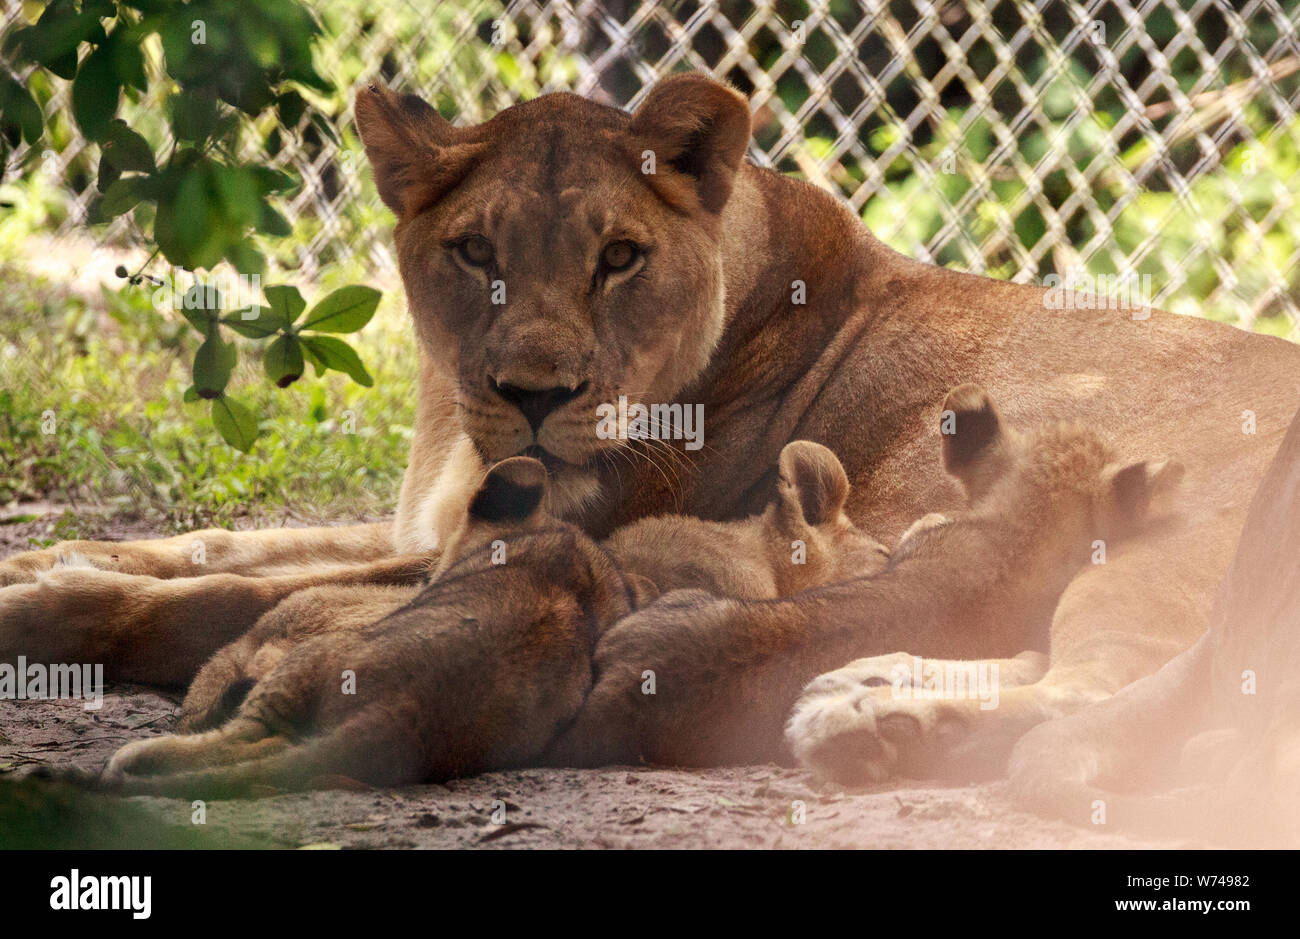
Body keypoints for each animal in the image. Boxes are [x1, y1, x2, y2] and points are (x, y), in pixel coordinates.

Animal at [2, 73, 1298, 832]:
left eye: (618, 257)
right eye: (475, 253)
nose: (533, 396)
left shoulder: (516, 535)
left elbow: (214, 598)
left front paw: (39, 608)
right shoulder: (428, 518)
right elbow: (227, 544)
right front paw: (48, 559)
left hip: (1154, 562)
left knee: (1092, 707)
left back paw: (870, 728)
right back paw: (863, 698)